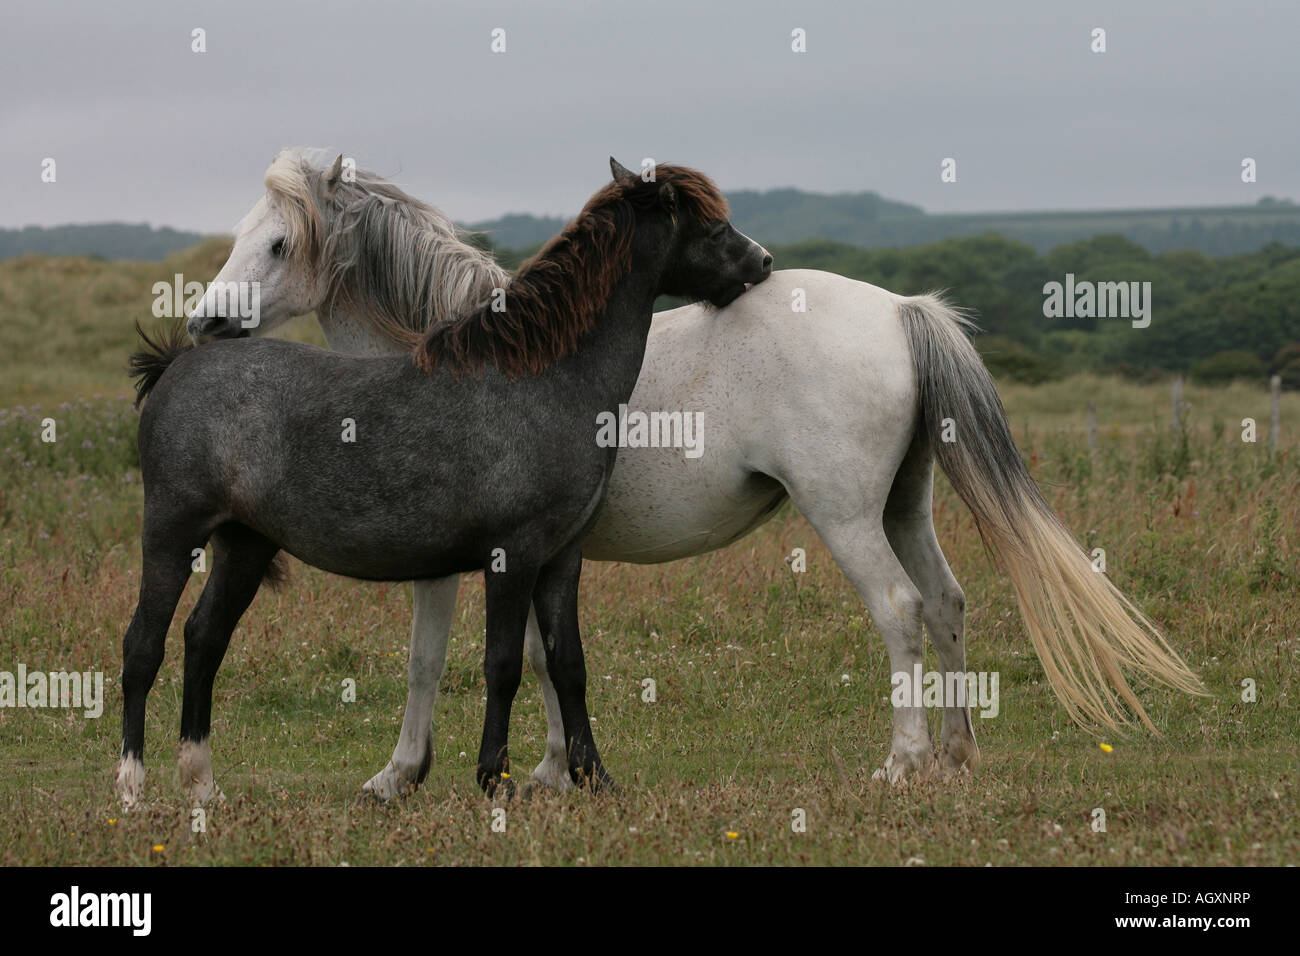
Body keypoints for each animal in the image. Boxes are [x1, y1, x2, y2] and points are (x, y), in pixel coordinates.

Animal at [115, 158, 772, 808]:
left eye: (278, 243)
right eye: (713, 226)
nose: (762, 263)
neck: (546, 376)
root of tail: (177, 366)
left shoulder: (561, 559)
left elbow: (567, 664)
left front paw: (591, 776)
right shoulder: (512, 556)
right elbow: (501, 664)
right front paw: (493, 780)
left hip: (245, 546)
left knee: (203, 640)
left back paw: (202, 784)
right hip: (173, 536)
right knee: (144, 644)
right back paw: (131, 787)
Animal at [189, 149, 1204, 801]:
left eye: (277, 245)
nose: (204, 322)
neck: (465, 361)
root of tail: (900, 309)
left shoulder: (462, 563)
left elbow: (430, 662)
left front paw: (402, 776)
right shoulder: (542, 558)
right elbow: (550, 661)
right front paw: (556, 771)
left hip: (845, 517)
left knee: (900, 611)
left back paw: (902, 762)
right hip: (904, 507)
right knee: (949, 605)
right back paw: (955, 757)